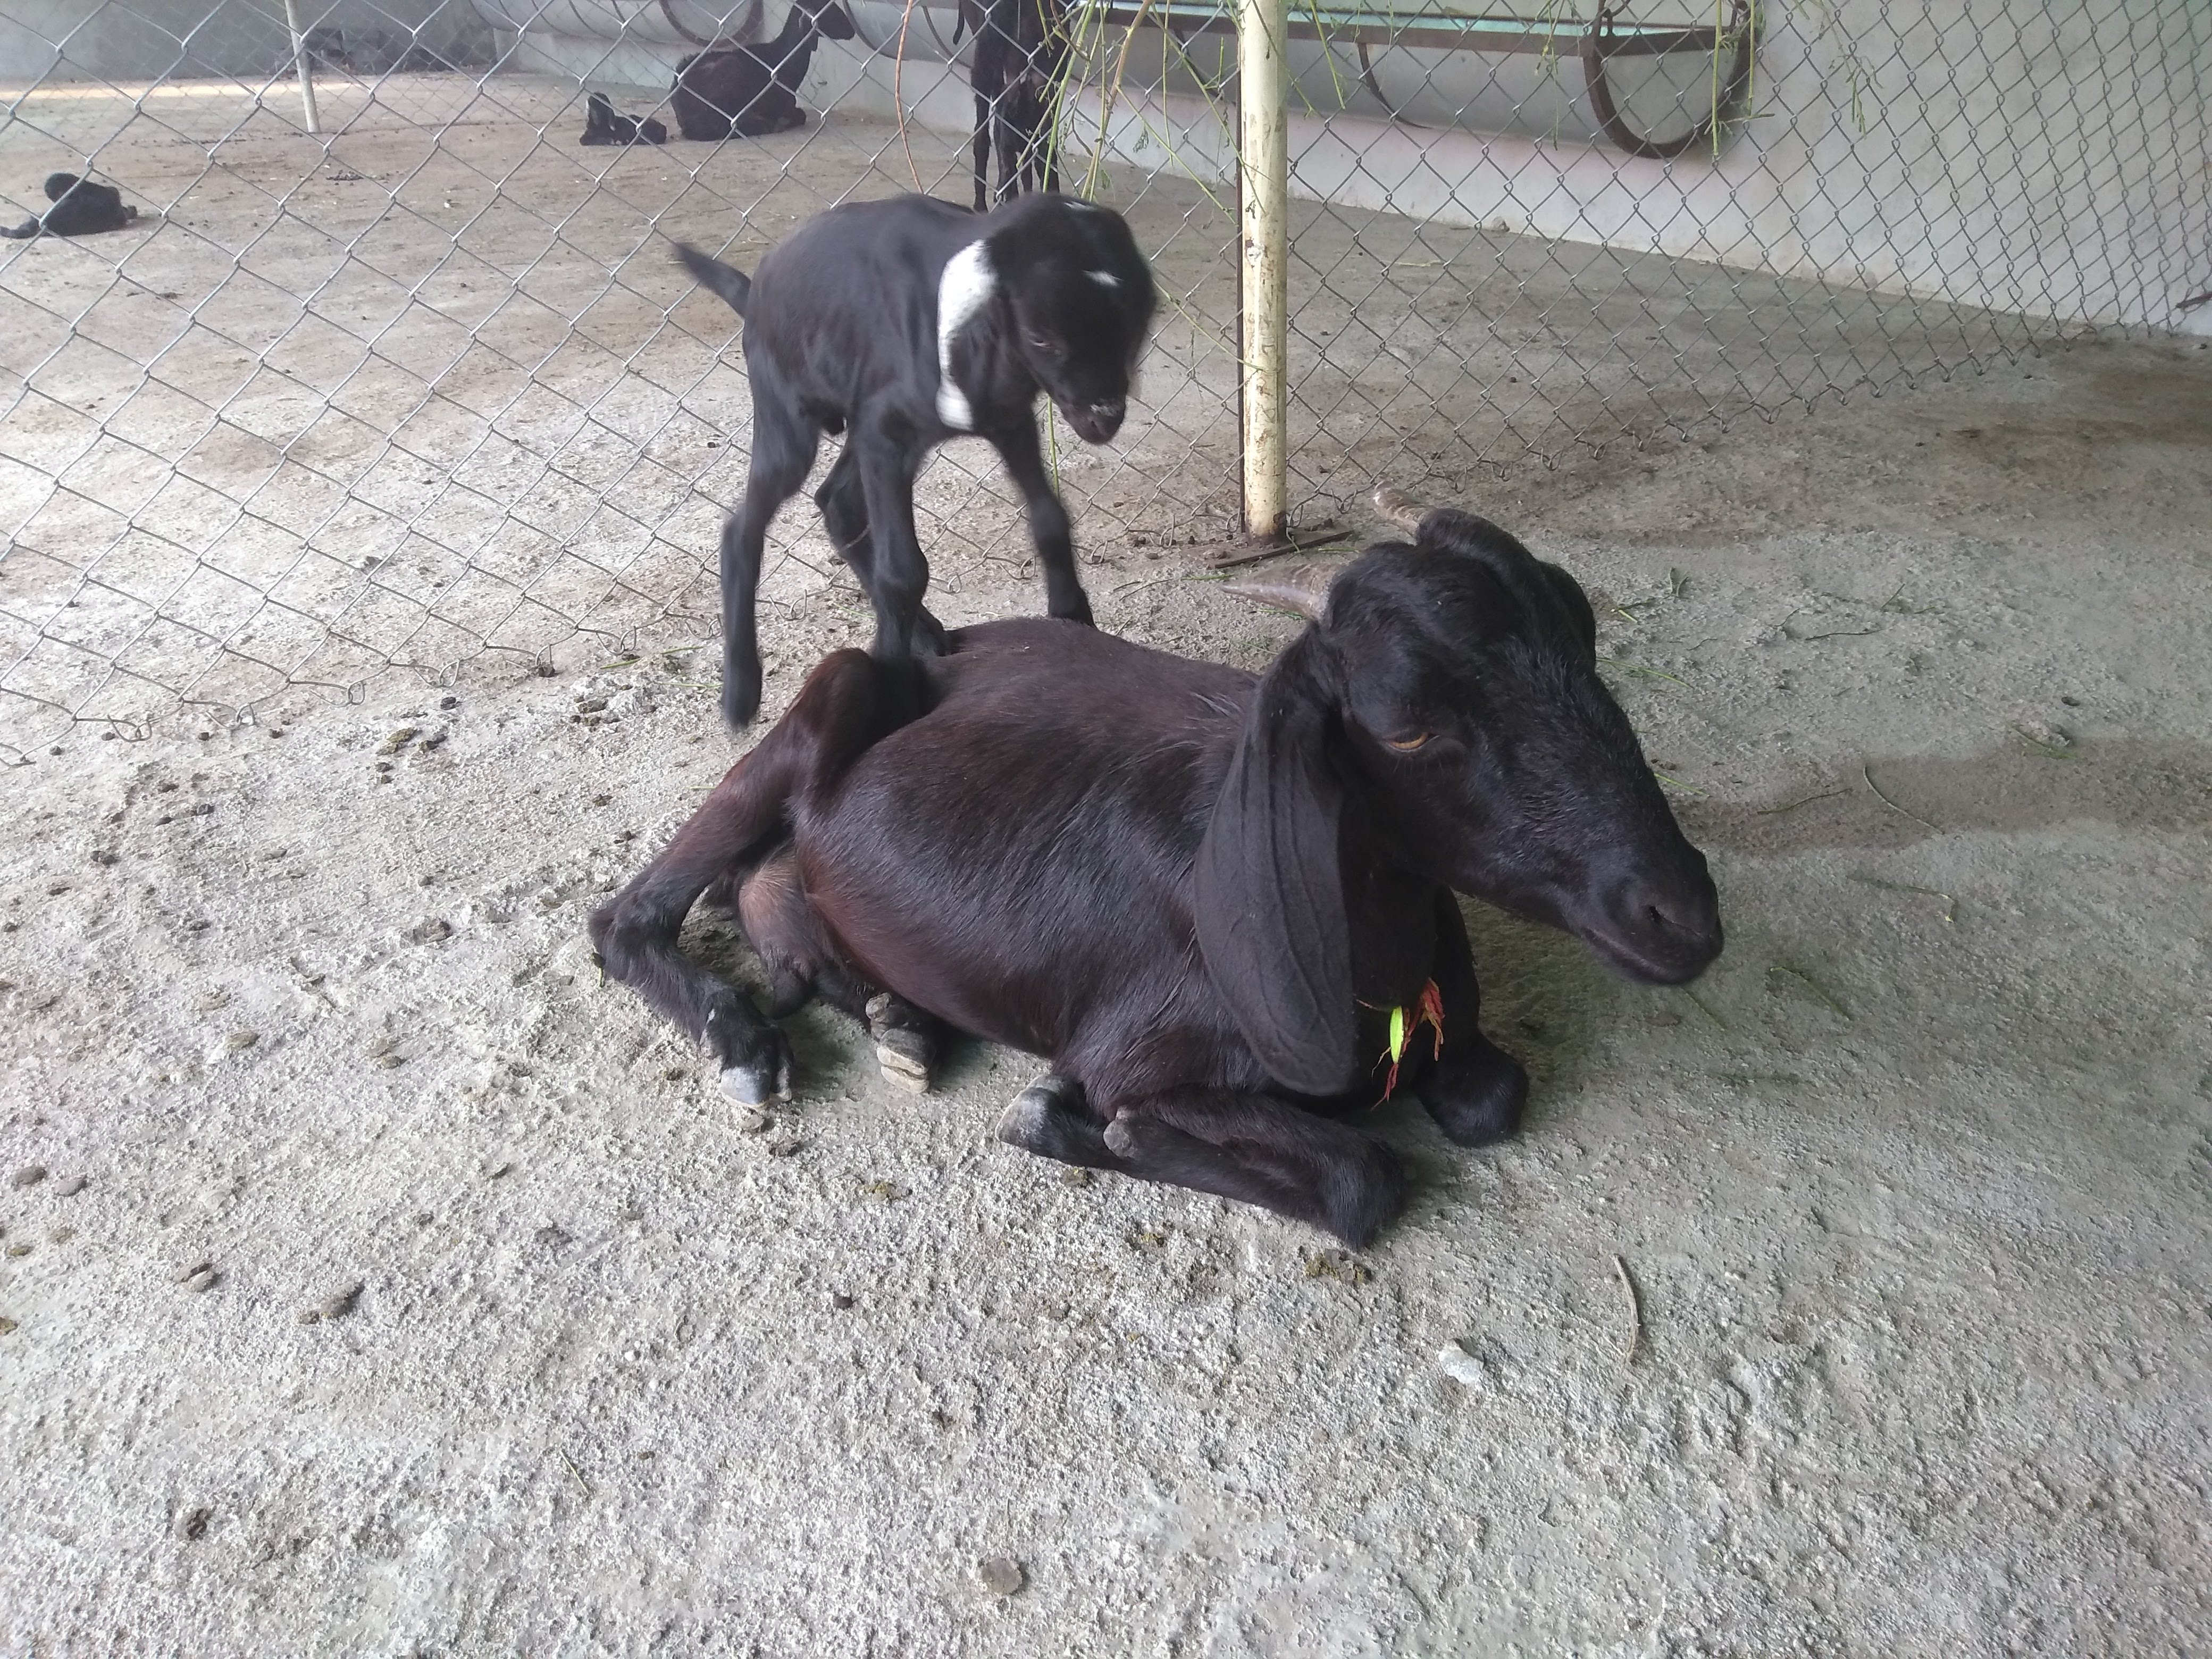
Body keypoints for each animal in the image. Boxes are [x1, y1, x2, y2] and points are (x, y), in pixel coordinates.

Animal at [580, 91, 669, 146]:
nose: (596, 116)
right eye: (592, 109)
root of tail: (663, 128)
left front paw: (614, 141)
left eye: (602, 108)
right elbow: (582, 140)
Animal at [591, 491, 1725, 1247]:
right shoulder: (1136, 1049)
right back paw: (746, 1041)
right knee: (626, 918)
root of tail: (938, 640)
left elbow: (1492, 1094)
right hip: (831, 691)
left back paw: (896, 1019)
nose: (1680, 914)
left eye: (1584, 631)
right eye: (1405, 723)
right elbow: (1365, 1179)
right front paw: (1074, 1123)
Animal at [673, 189, 1156, 729]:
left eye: (1134, 326)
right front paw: (890, 683)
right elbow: (902, 571)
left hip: (865, 427)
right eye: (1041, 337)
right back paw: (741, 686)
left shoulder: (1007, 421)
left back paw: (925, 632)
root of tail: (756, 289)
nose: (1104, 419)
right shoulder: (886, 436)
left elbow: (1050, 518)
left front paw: (1074, 616)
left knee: (837, 503)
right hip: (791, 422)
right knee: (744, 528)